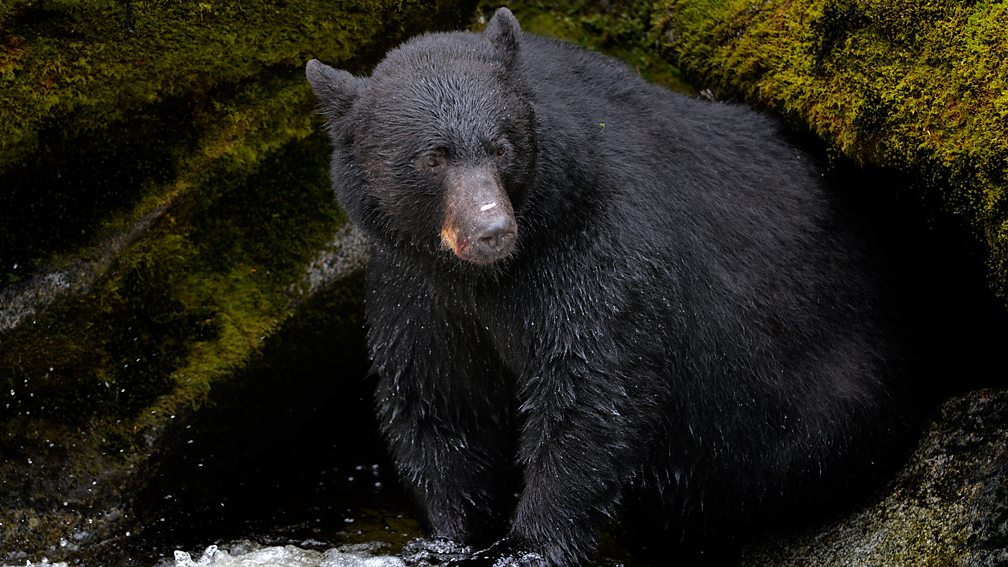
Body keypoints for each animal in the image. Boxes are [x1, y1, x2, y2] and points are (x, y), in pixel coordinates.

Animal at [306, 7, 908, 566]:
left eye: (500, 146)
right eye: (433, 157)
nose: (491, 230)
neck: (488, 275)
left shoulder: (594, 246)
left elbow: (592, 387)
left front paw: (528, 545)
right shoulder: (419, 288)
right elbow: (439, 396)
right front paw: (454, 535)